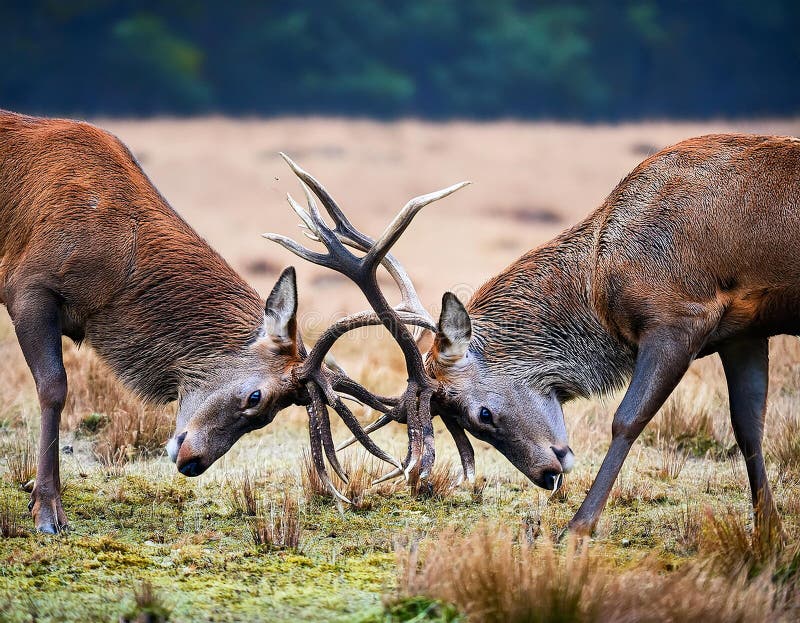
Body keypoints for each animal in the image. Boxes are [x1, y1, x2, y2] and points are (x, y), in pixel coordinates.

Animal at [0, 110, 467, 533]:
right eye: (256, 397)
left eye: (268, 417)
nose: (191, 463)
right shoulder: (27, 284)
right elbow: (54, 388)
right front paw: (47, 511)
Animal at [270, 134, 800, 535]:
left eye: (482, 414)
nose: (547, 475)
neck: (603, 281)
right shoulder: (743, 331)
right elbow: (748, 427)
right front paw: (769, 533)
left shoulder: (679, 317)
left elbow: (626, 419)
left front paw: (577, 529)